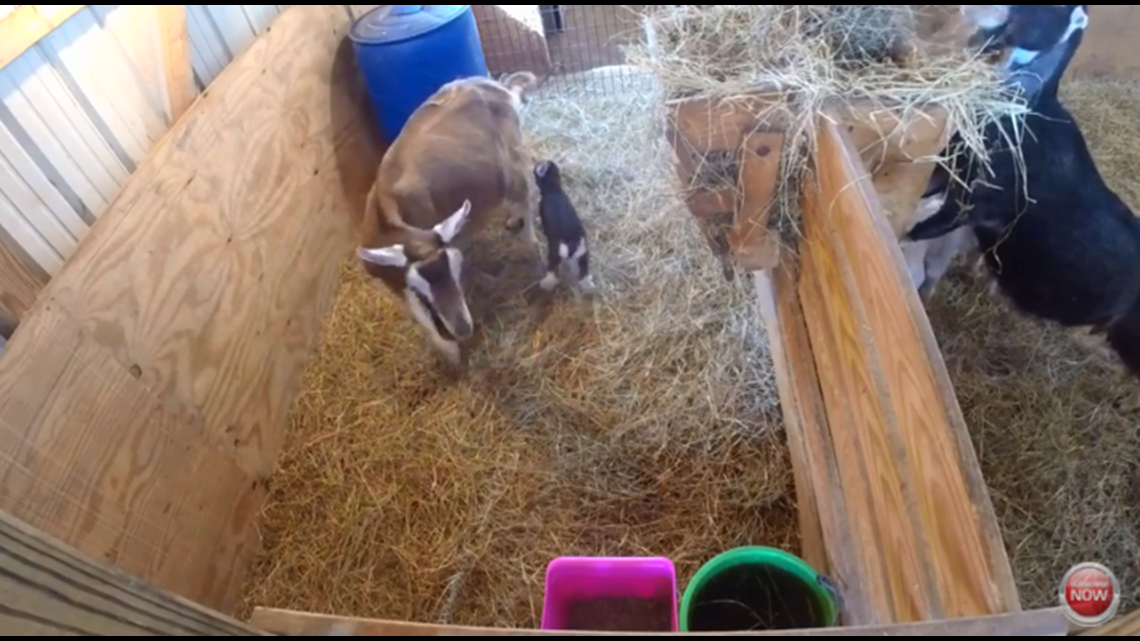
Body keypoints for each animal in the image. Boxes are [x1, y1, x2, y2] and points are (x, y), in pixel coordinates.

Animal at [356, 71, 540, 368]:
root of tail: (490, 85)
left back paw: (531, 247)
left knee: (523, 195)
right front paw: (451, 353)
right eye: (420, 289)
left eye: (456, 271)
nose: (463, 328)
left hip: (512, 160)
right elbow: (420, 317)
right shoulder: (393, 281)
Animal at [533, 159, 595, 295]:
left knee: (551, 269)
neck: (554, 189)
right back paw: (588, 285)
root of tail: (570, 242)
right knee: (584, 271)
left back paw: (546, 284)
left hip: (554, 253)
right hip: (583, 252)